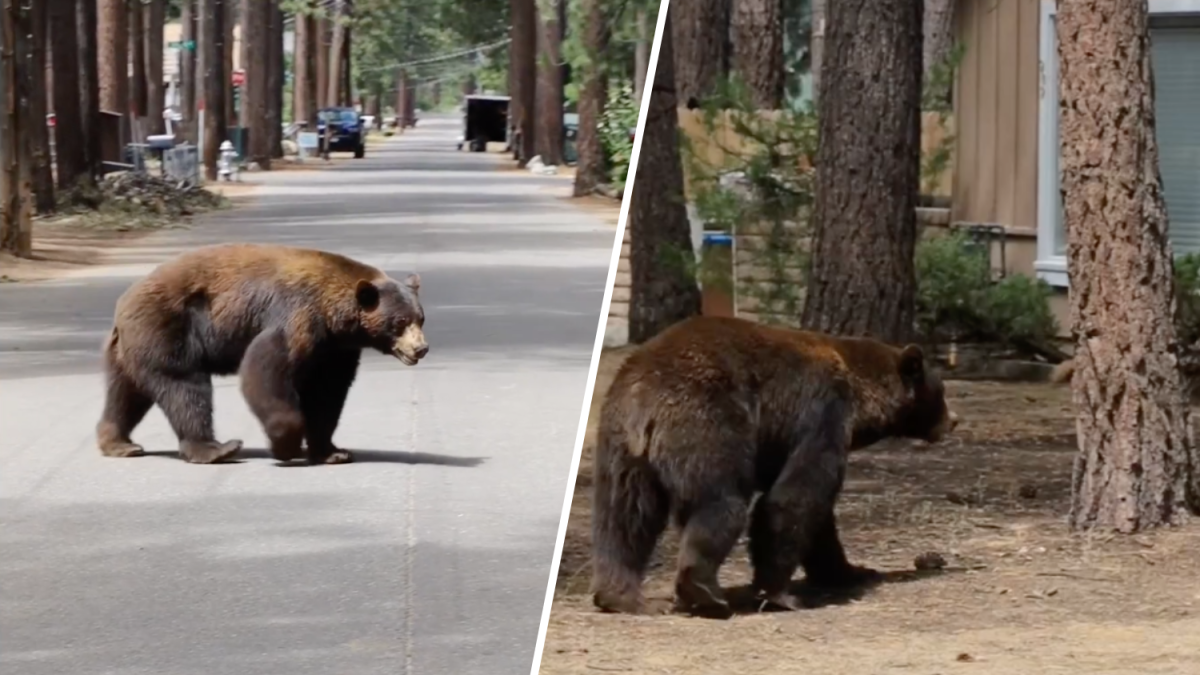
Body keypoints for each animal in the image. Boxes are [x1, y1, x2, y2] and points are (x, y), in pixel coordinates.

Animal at [94, 243, 428, 466]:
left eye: (420, 318)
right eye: (400, 321)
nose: (421, 348)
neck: (336, 317)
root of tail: (123, 302)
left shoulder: (335, 349)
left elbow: (327, 393)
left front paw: (333, 451)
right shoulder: (298, 317)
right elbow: (266, 369)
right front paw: (286, 446)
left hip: (128, 348)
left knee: (126, 393)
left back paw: (118, 443)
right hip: (166, 328)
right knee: (183, 387)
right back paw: (216, 448)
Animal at [589, 316, 958, 619]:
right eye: (940, 391)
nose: (953, 420)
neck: (861, 396)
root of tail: (643, 395)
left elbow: (819, 517)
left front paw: (850, 570)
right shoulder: (822, 413)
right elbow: (794, 496)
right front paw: (781, 594)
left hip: (623, 452)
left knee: (624, 518)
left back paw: (624, 596)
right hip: (706, 423)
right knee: (721, 503)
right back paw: (704, 592)